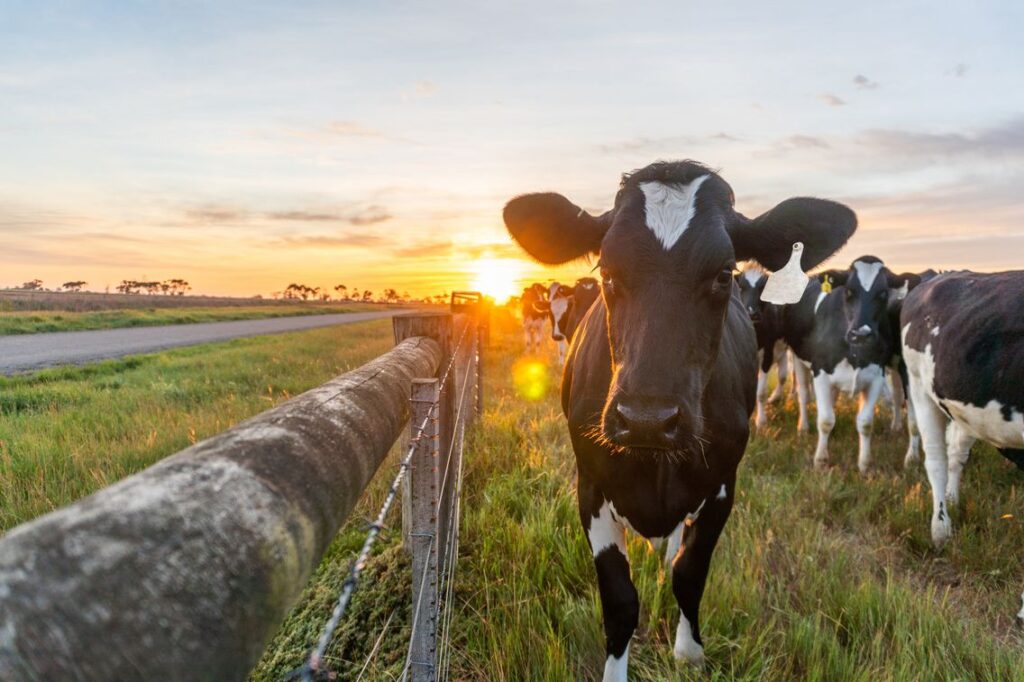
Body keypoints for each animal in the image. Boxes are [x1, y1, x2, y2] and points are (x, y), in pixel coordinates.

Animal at [503, 160, 856, 679]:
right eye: (607, 270)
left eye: (725, 274)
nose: (647, 419)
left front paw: (689, 653)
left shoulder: (724, 485)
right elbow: (620, 601)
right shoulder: (590, 485)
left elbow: (690, 573)